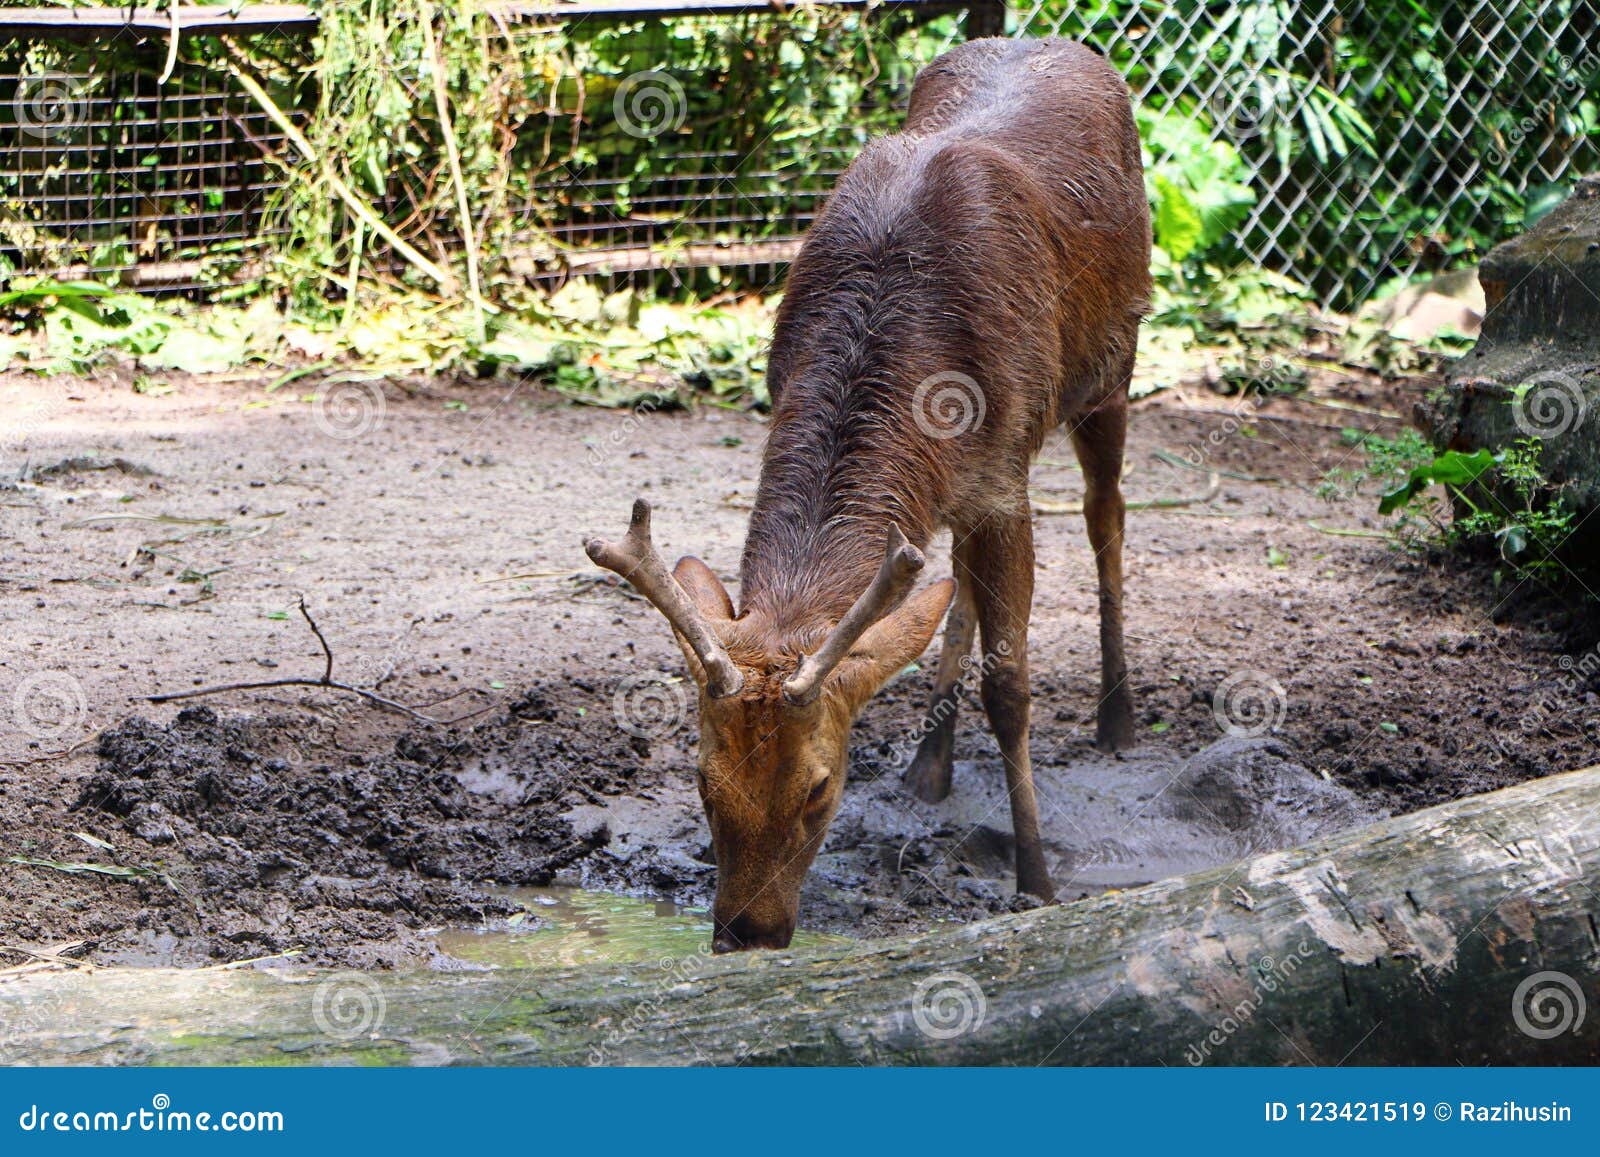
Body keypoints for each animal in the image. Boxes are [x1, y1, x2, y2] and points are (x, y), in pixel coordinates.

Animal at [585, 37, 1150, 953]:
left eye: (821, 788)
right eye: (704, 780)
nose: (746, 931)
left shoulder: (1006, 474)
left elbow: (1011, 684)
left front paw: (1036, 882)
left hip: (1114, 363)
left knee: (1108, 517)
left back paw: (1118, 716)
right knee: (954, 580)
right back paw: (929, 764)